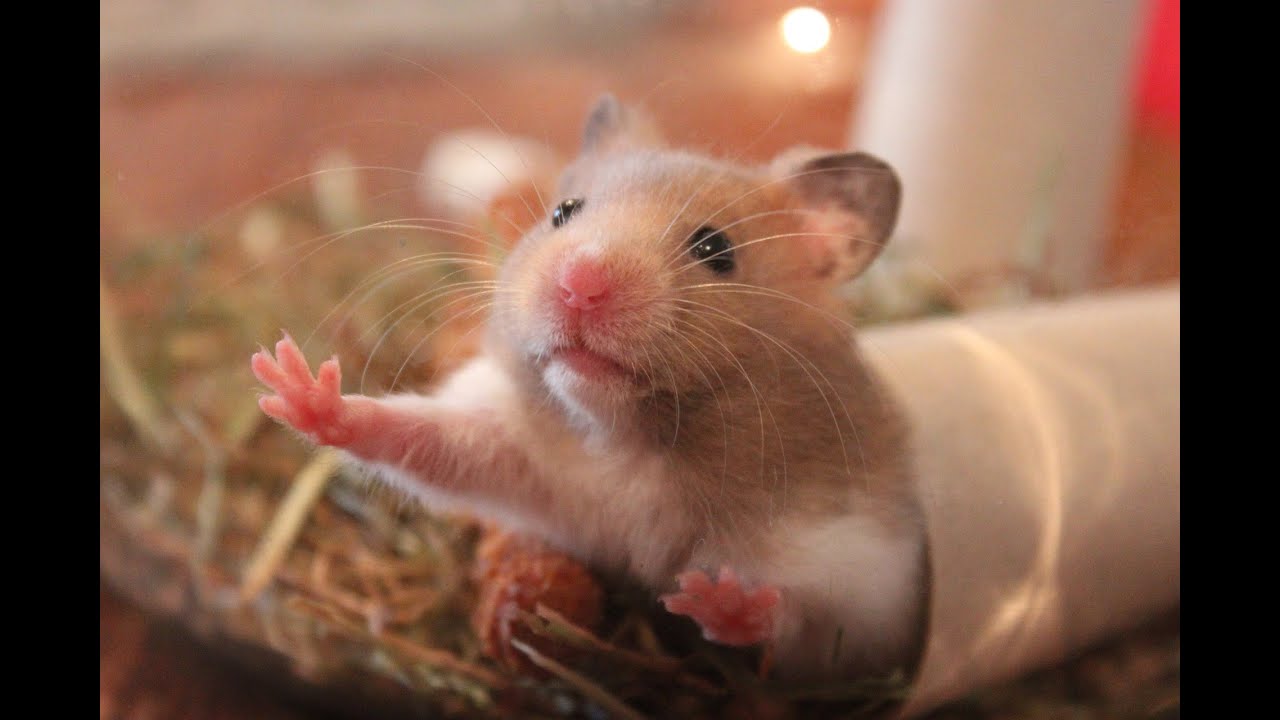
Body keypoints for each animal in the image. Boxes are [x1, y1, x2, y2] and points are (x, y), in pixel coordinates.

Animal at [251, 94, 928, 681]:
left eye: (716, 248)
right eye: (564, 211)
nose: (580, 281)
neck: (627, 440)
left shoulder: (861, 568)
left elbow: (803, 614)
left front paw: (714, 598)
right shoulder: (521, 454)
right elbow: (422, 436)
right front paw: (296, 386)